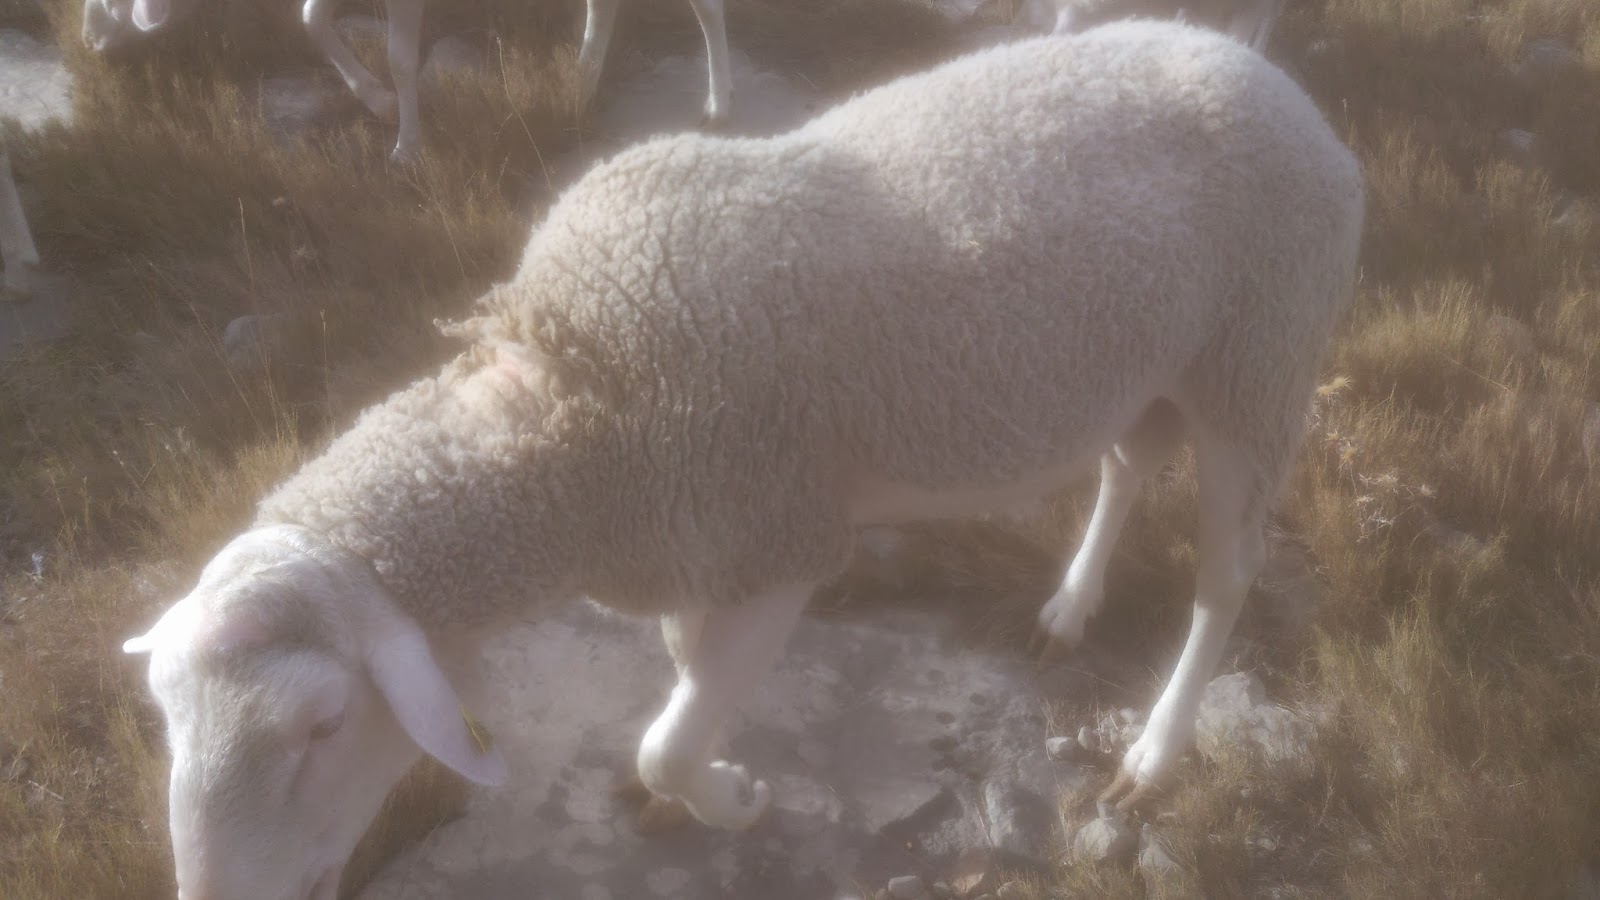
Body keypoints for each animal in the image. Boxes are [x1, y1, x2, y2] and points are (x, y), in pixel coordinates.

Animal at [122, 20, 1364, 897]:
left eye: (323, 726)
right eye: (166, 714)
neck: (564, 417)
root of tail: (1271, 81)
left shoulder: (780, 543)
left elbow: (663, 746)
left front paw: (729, 796)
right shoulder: (695, 545)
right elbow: (681, 678)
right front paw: (709, 775)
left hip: (1261, 357)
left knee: (1225, 580)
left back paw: (1154, 751)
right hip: (1153, 364)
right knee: (1120, 470)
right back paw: (1069, 606)